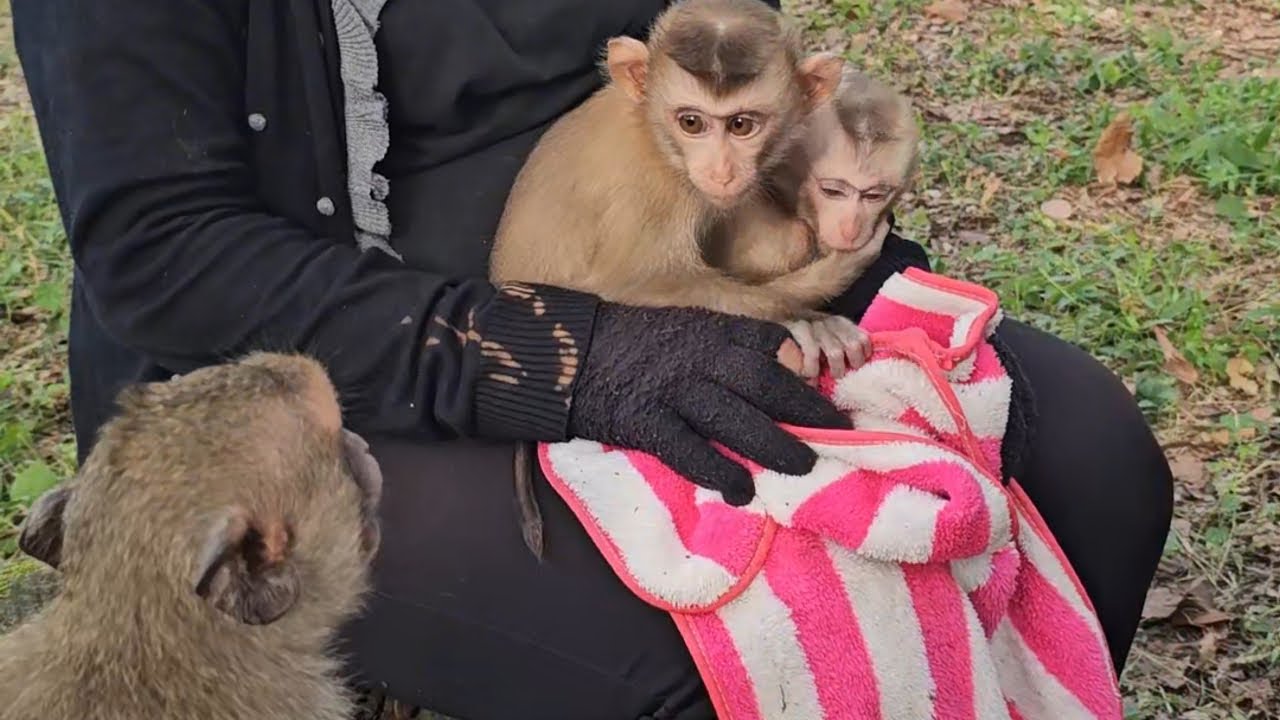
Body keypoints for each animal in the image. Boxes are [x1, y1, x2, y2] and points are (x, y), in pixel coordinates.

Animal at [489, 0, 874, 560]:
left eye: (742, 124)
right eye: (691, 122)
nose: (721, 171)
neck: (658, 136)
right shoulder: (656, 190)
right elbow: (630, 282)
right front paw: (805, 315)